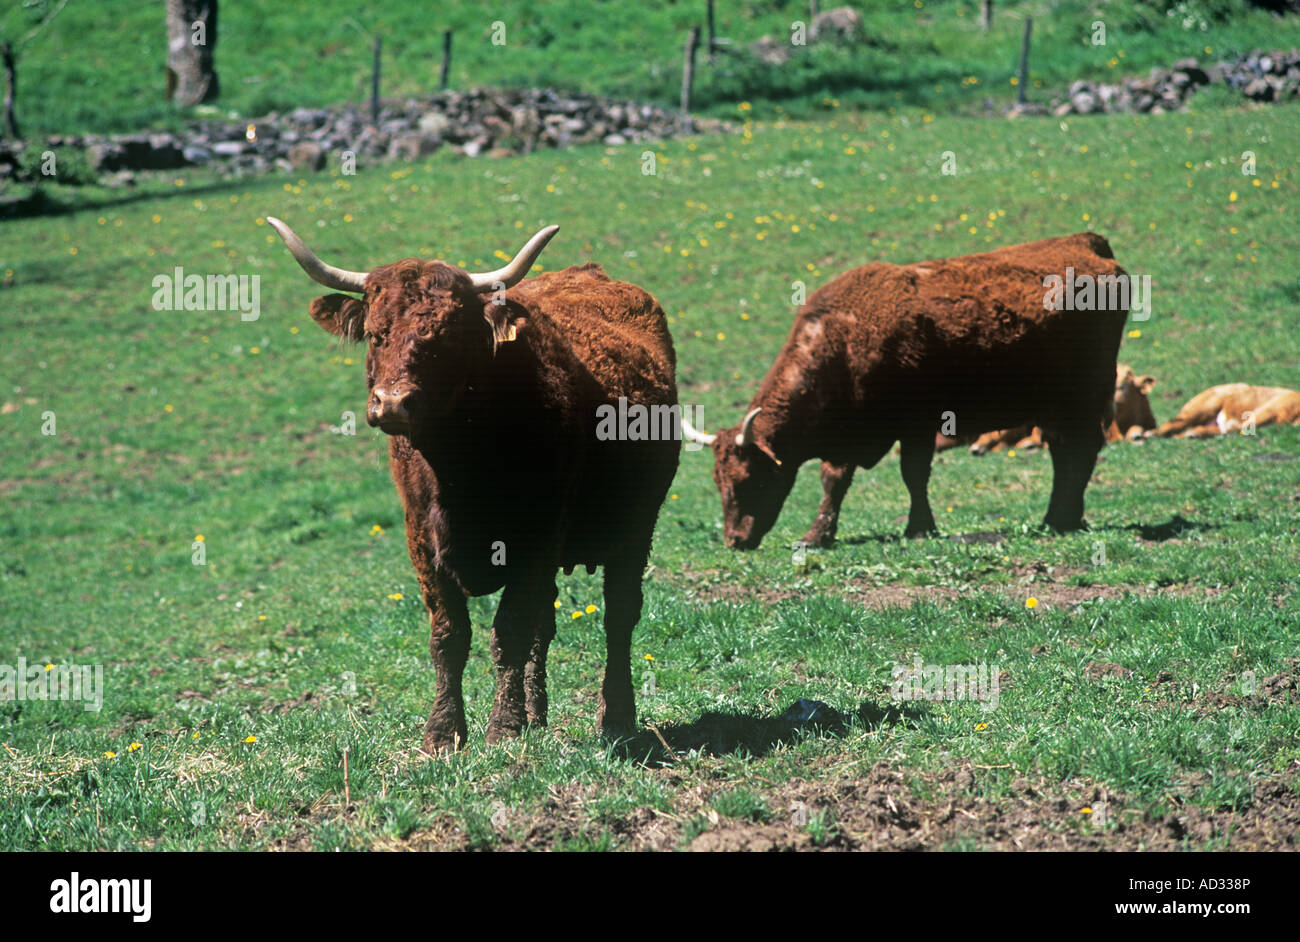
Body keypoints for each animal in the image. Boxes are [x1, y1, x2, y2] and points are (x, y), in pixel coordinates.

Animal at [267, 217, 679, 750]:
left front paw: (503, 727)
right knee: (547, 624)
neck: (459, 466)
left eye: (445, 338)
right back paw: (538, 715)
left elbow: (508, 632)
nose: (393, 403)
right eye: (376, 335)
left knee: (619, 616)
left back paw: (617, 720)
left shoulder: (534, 539)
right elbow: (450, 637)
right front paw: (444, 733)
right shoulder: (421, 540)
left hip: (636, 527)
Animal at [682, 233, 1129, 549]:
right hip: (1057, 405)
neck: (844, 340)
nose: (735, 541)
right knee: (1064, 452)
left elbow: (912, 474)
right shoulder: (850, 435)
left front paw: (918, 528)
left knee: (1082, 449)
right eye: (718, 482)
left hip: (1085, 395)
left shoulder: (918, 424)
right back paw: (1061, 519)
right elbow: (833, 481)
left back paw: (1060, 520)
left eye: (751, 480)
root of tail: (1089, 244)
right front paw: (817, 536)